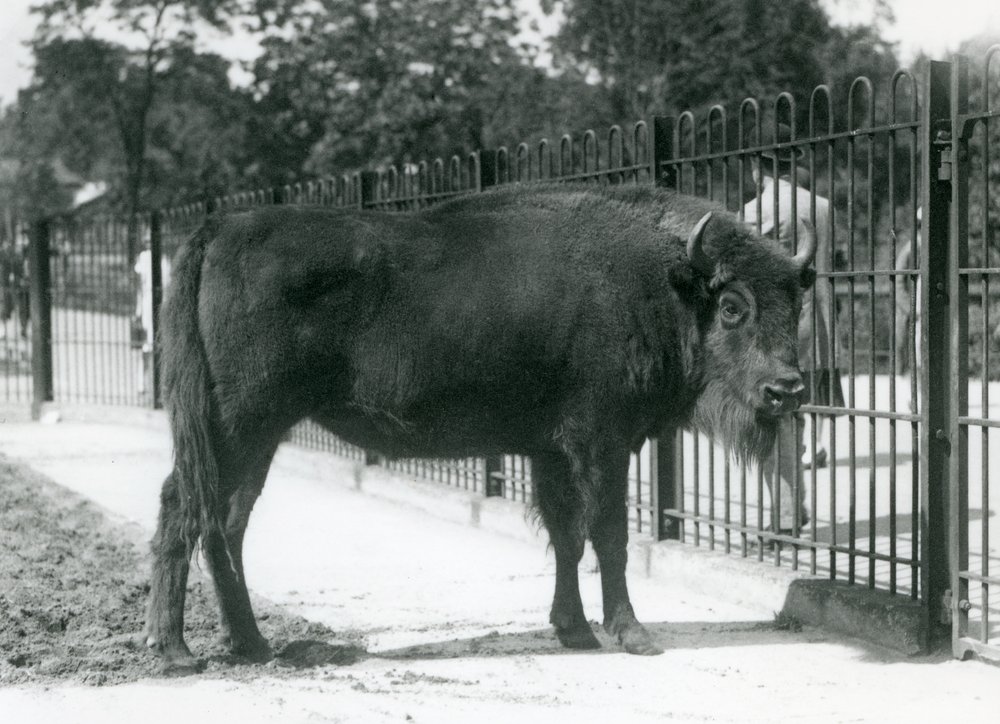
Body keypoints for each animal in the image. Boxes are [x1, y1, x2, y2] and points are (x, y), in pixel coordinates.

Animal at [144, 183, 815, 671]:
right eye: (731, 305)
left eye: (796, 301)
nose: (787, 389)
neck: (665, 280)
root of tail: (218, 229)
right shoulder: (601, 443)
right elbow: (609, 534)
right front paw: (633, 634)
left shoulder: (550, 451)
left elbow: (566, 537)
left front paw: (574, 631)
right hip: (237, 427)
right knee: (184, 508)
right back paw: (175, 652)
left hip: (254, 437)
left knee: (225, 524)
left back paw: (249, 645)